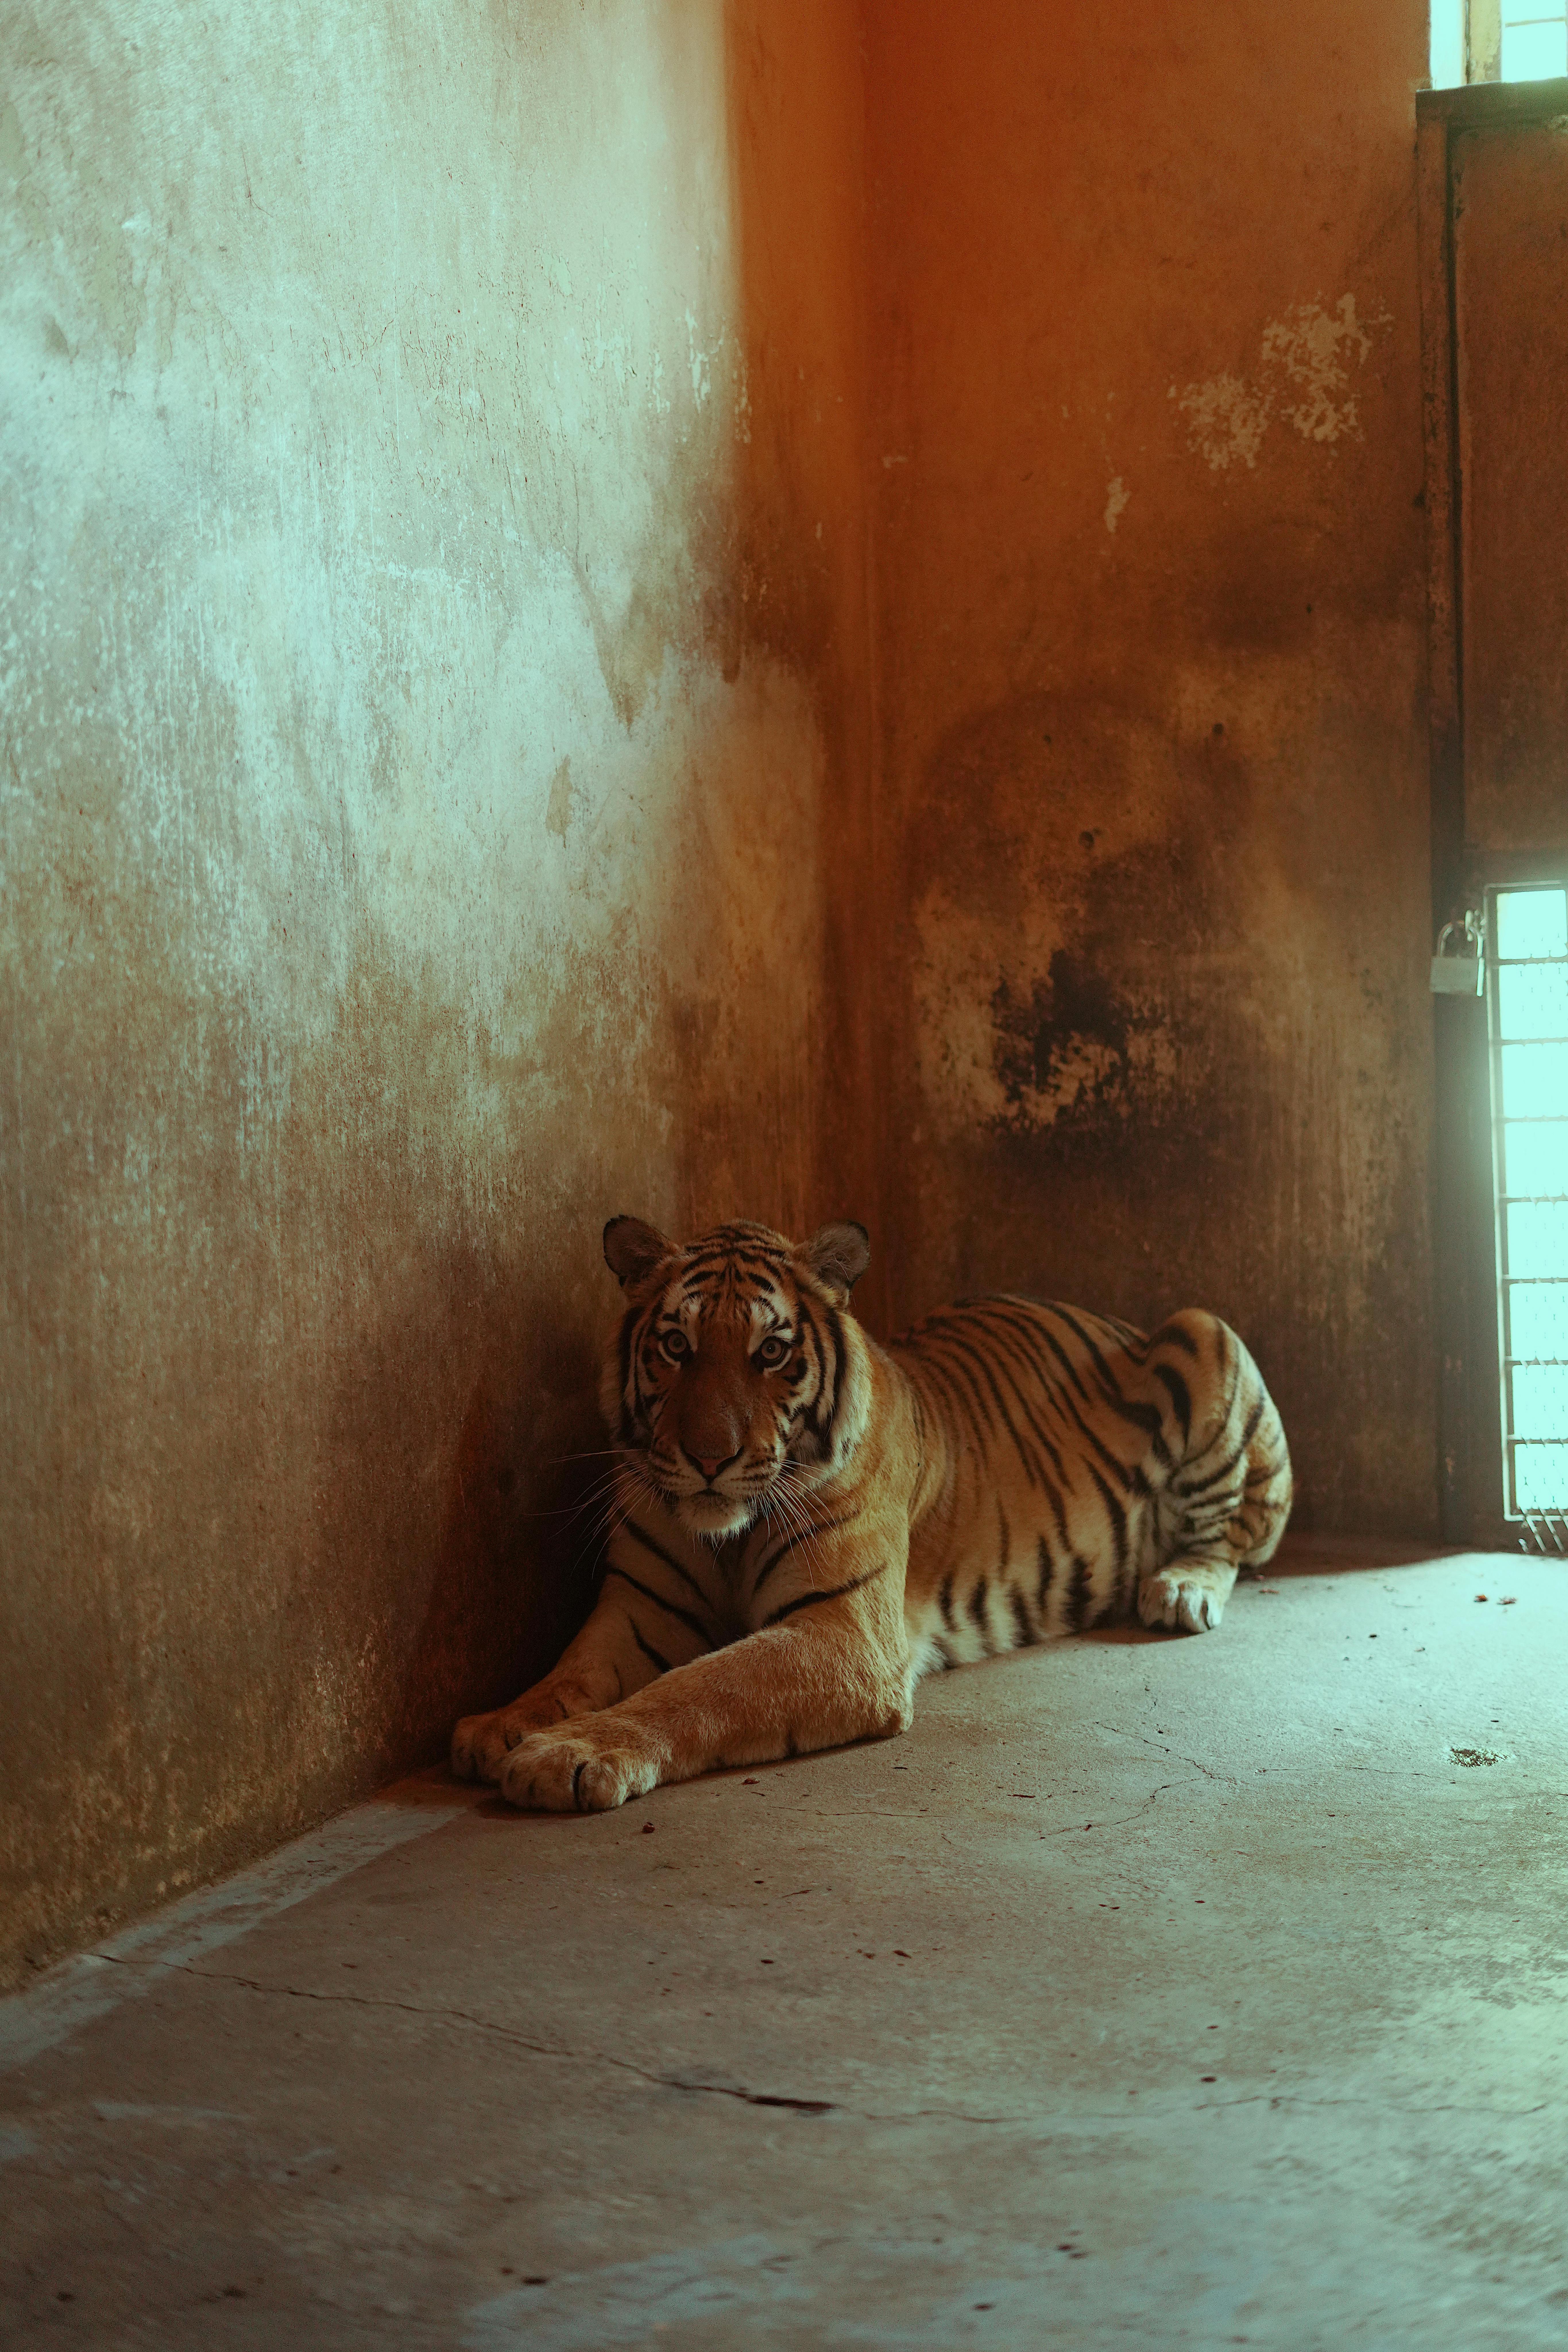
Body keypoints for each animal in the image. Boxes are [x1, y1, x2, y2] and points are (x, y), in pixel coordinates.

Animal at [451, 1216, 1293, 1812]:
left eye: (770, 1351)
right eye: (675, 1345)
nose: (709, 1458)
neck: (725, 1537)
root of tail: (1114, 1320)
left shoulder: (843, 1631)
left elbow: (697, 1688)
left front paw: (564, 1755)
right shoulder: (639, 1611)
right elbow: (570, 1670)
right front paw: (498, 1726)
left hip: (1202, 1330)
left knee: (1231, 1538)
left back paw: (1179, 1591)